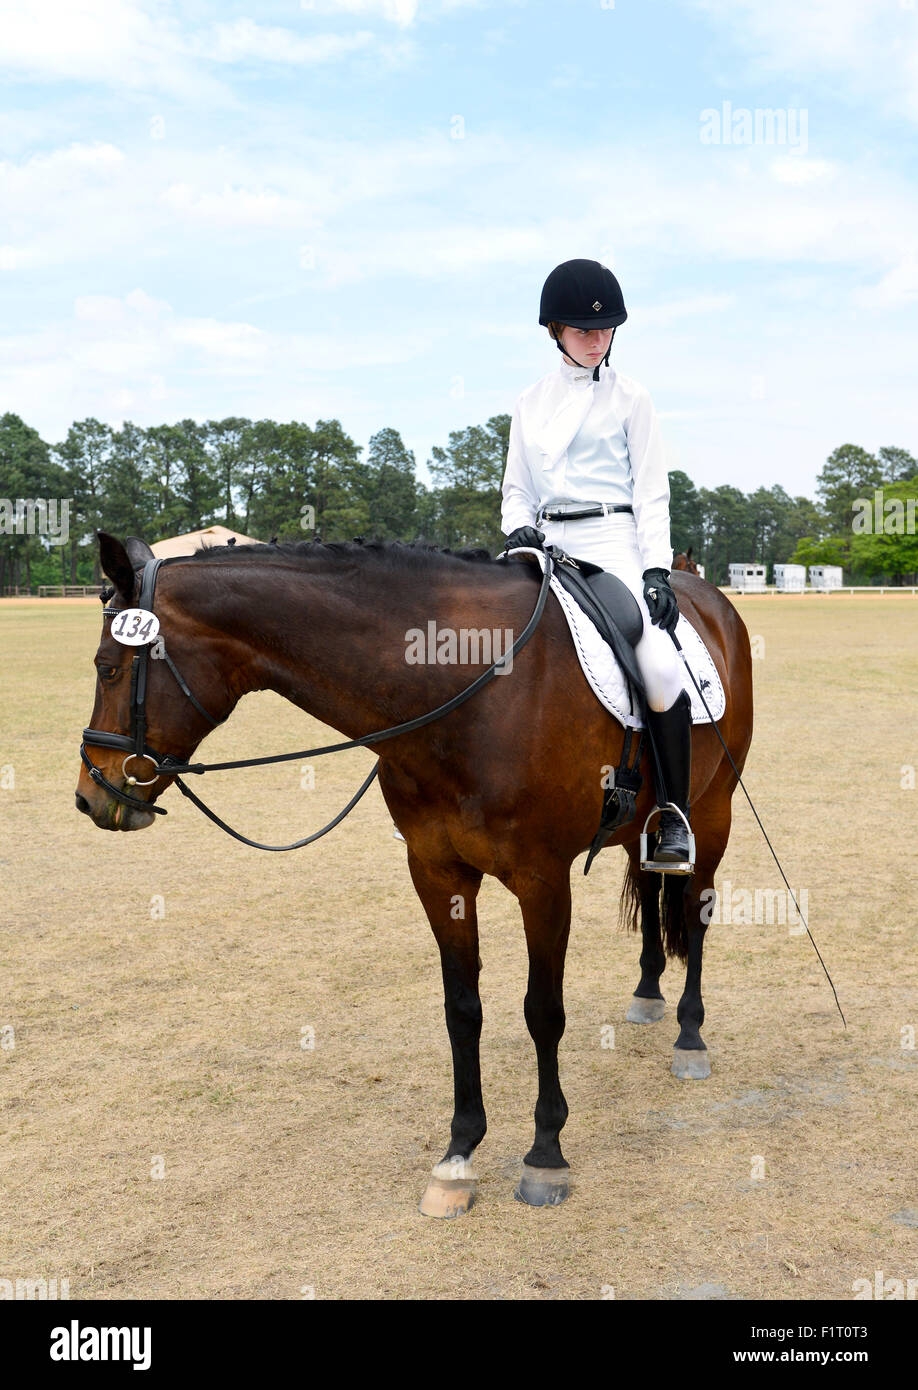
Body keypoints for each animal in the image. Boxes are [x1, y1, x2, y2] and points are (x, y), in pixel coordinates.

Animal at [76, 532, 753, 1216]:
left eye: (108, 667)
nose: (90, 795)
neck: (467, 692)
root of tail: (702, 588)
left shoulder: (542, 880)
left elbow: (543, 1011)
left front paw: (544, 1154)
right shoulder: (436, 871)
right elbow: (461, 1008)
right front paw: (459, 1155)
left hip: (714, 812)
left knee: (695, 913)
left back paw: (689, 1035)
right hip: (639, 826)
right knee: (650, 885)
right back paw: (647, 994)